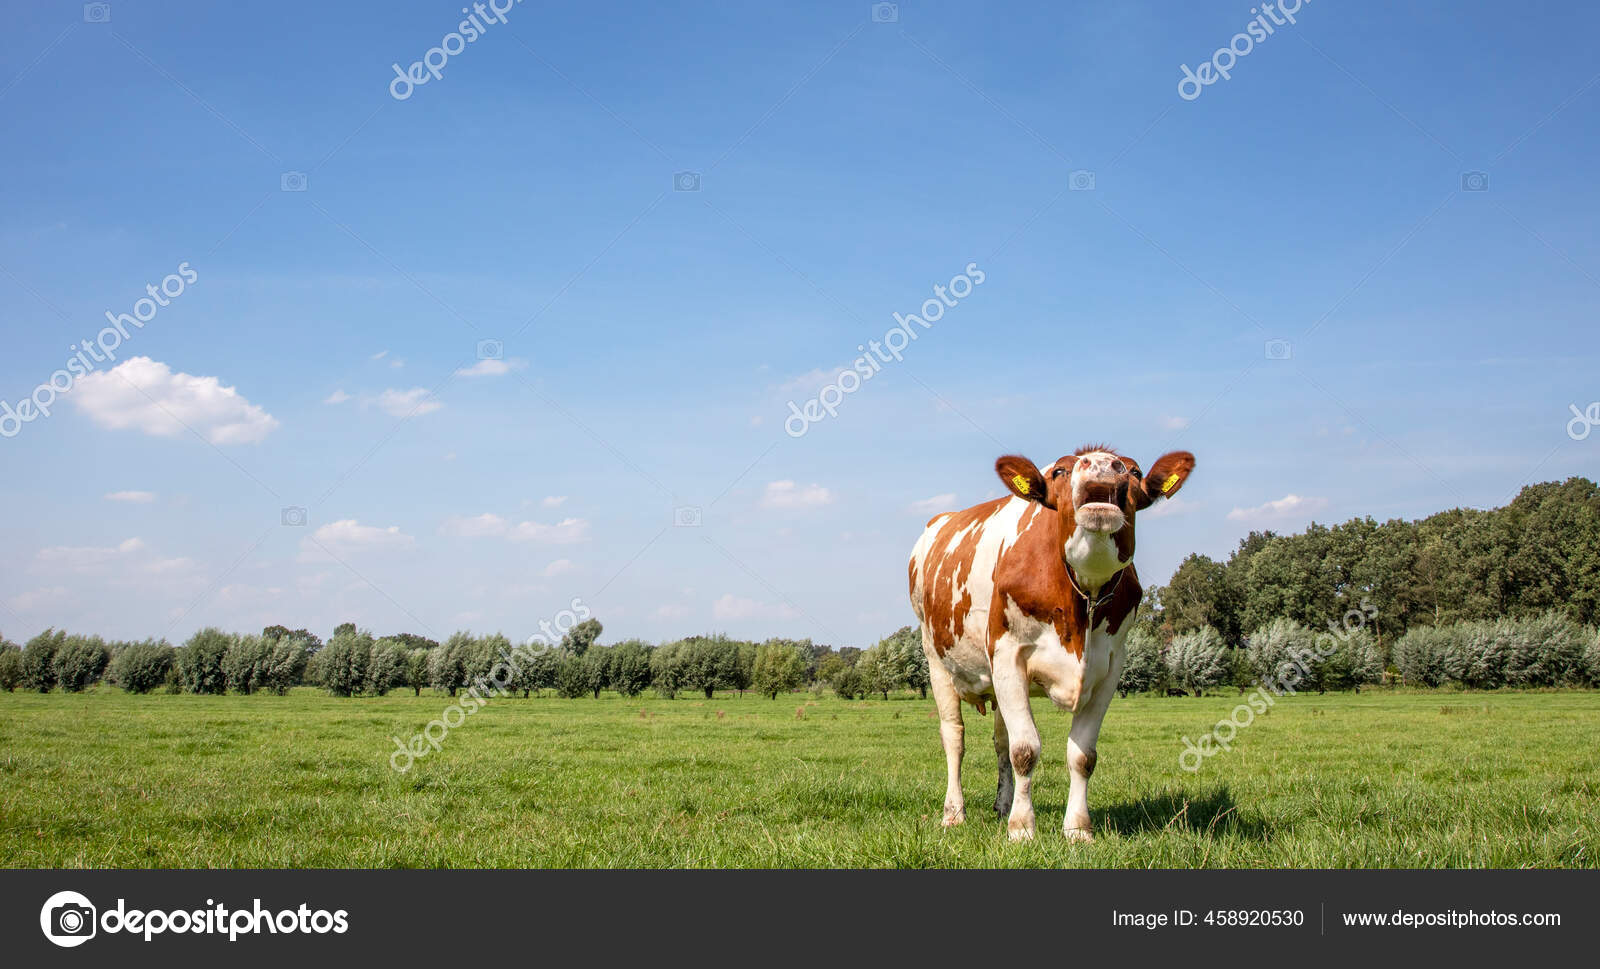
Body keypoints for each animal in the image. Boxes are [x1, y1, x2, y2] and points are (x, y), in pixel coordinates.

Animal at [908, 446, 1195, 841]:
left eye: (1135, 471)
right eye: (1060, 471)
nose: (1103, 465)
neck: (1083, 596)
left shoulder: (1110, 667)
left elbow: (1082, 756)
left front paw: (1077, 829)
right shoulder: (1007, 654)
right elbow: (1025, 750)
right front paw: (1021, 829)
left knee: (1000, 740)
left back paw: (1001, 805)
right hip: (936, 658)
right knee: (955, 737)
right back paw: (954, 812)